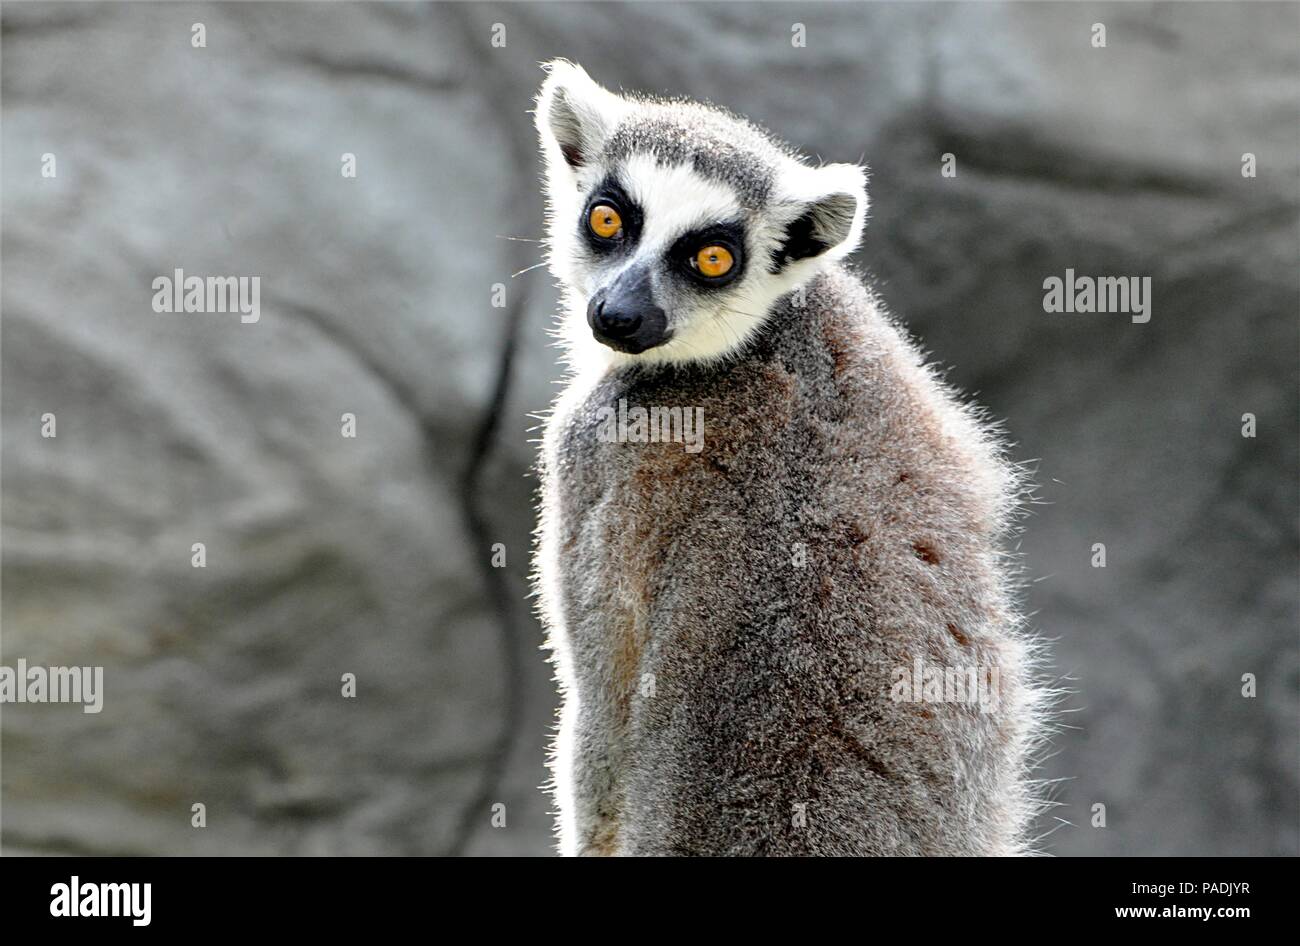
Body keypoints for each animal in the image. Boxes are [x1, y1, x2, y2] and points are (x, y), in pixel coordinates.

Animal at [531, 61, 1048, 856]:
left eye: (712, 258)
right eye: (608, 219)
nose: (619, 315)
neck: (764, 341)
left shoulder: (601, 460)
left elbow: (604, 724)